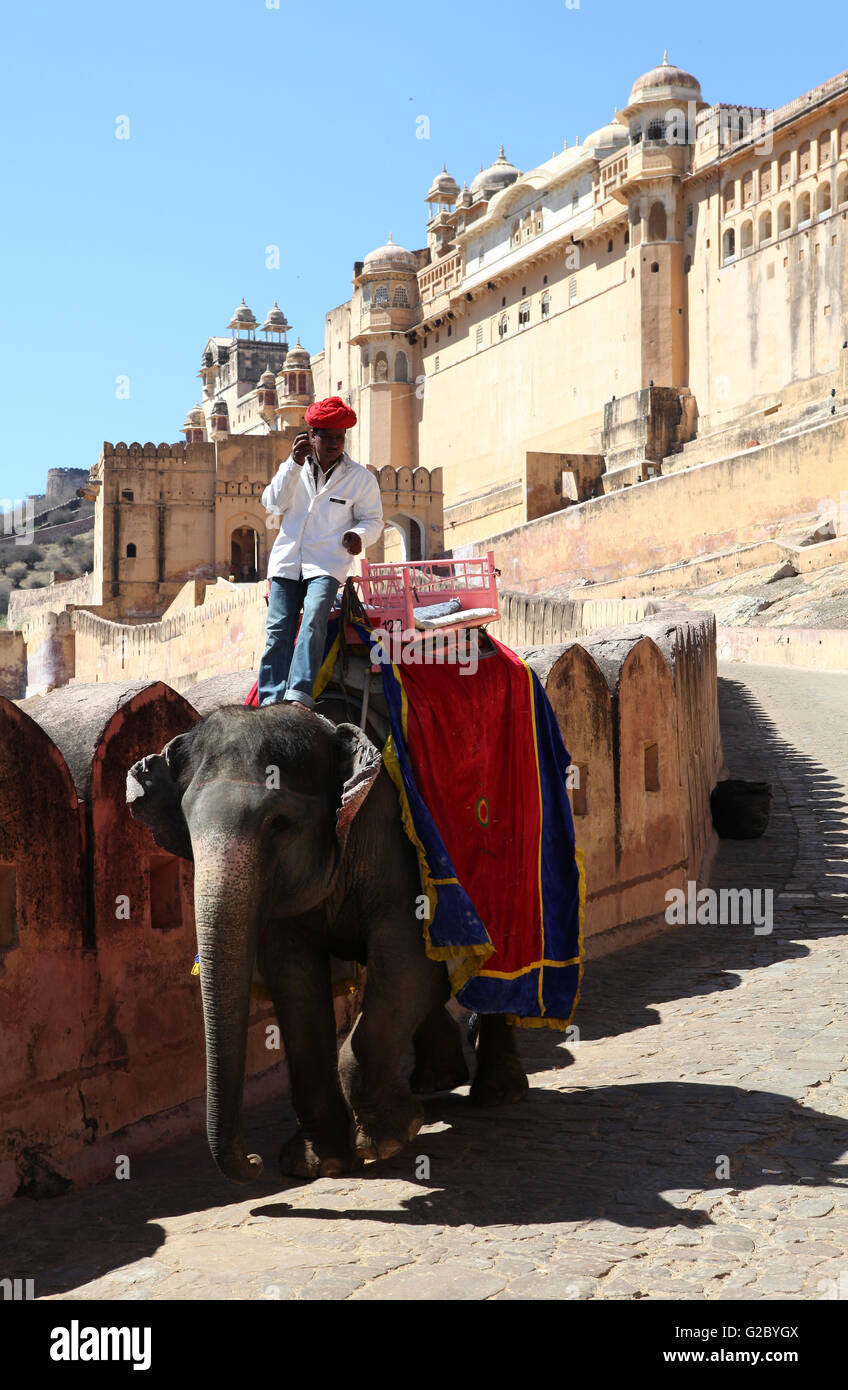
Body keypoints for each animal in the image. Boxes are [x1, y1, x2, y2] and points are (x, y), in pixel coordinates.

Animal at [126, 702, 529, 1184]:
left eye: (279, 823)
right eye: (186, 828)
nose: (254, 1162)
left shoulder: (397, 845)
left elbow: (410, 961)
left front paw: (390, 1137)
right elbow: (293, 979)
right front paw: (319, 1163)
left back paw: (498, 1093)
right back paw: (437, 1078)